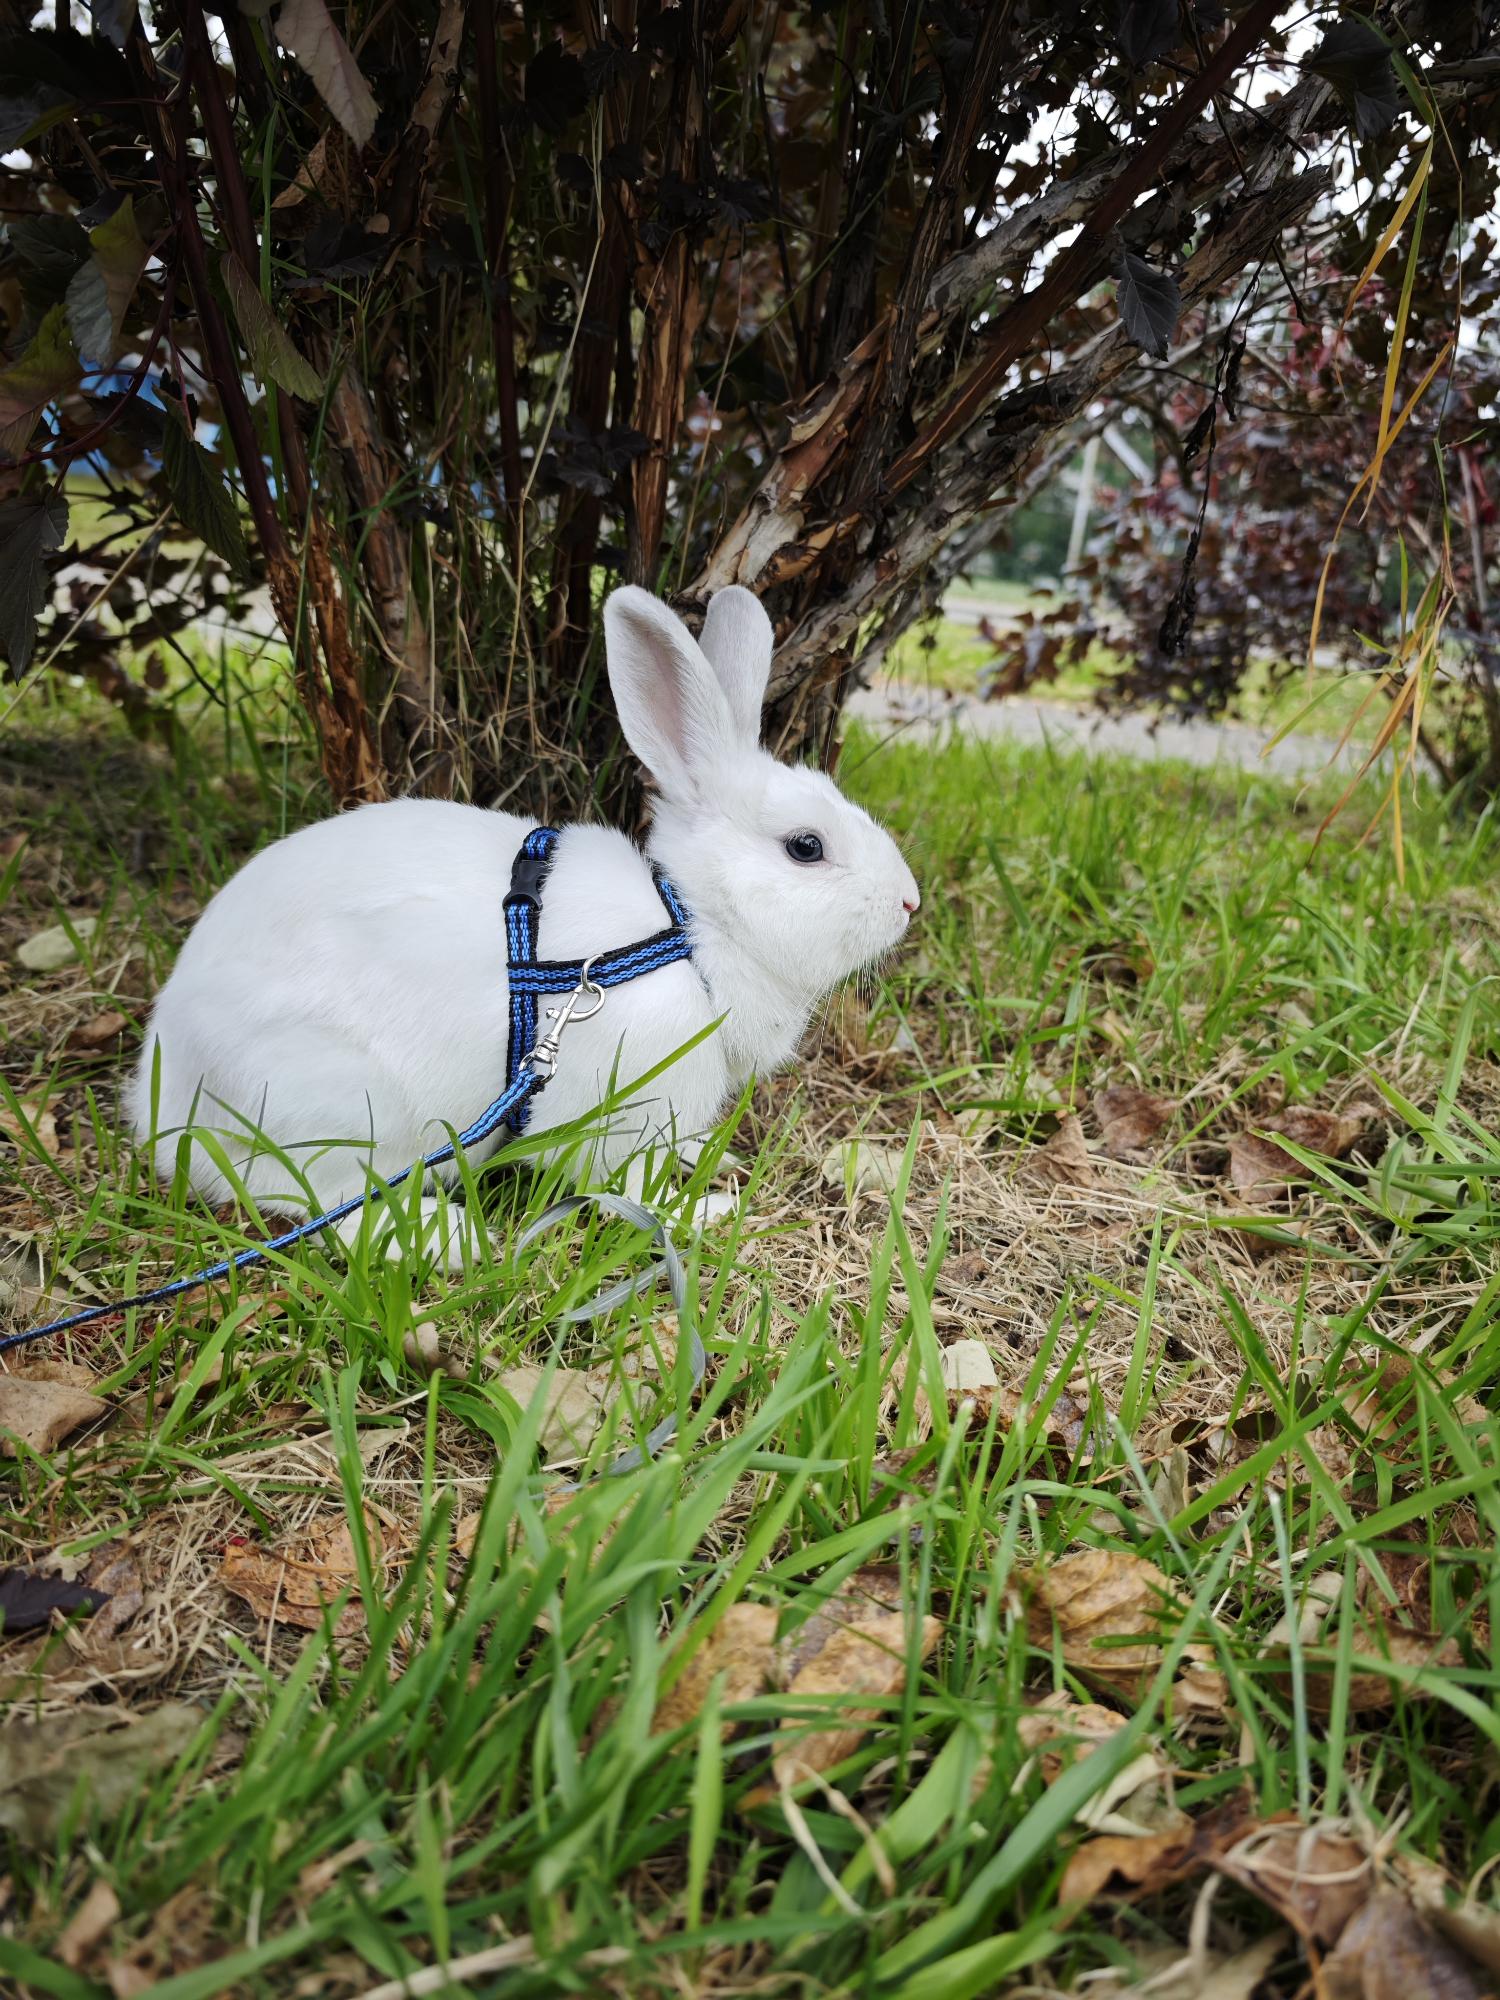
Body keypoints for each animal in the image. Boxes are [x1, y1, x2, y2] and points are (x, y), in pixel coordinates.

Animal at [129, 584, 924, 1264]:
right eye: (805, 847)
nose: (910, 902)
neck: (686, 926)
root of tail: (165, 1104)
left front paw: (711, 1161)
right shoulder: (611, 1114)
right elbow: (627, 1186)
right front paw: (705, 1213)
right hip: (346, 1109)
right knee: (317, 1202)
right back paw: (451, 1241)